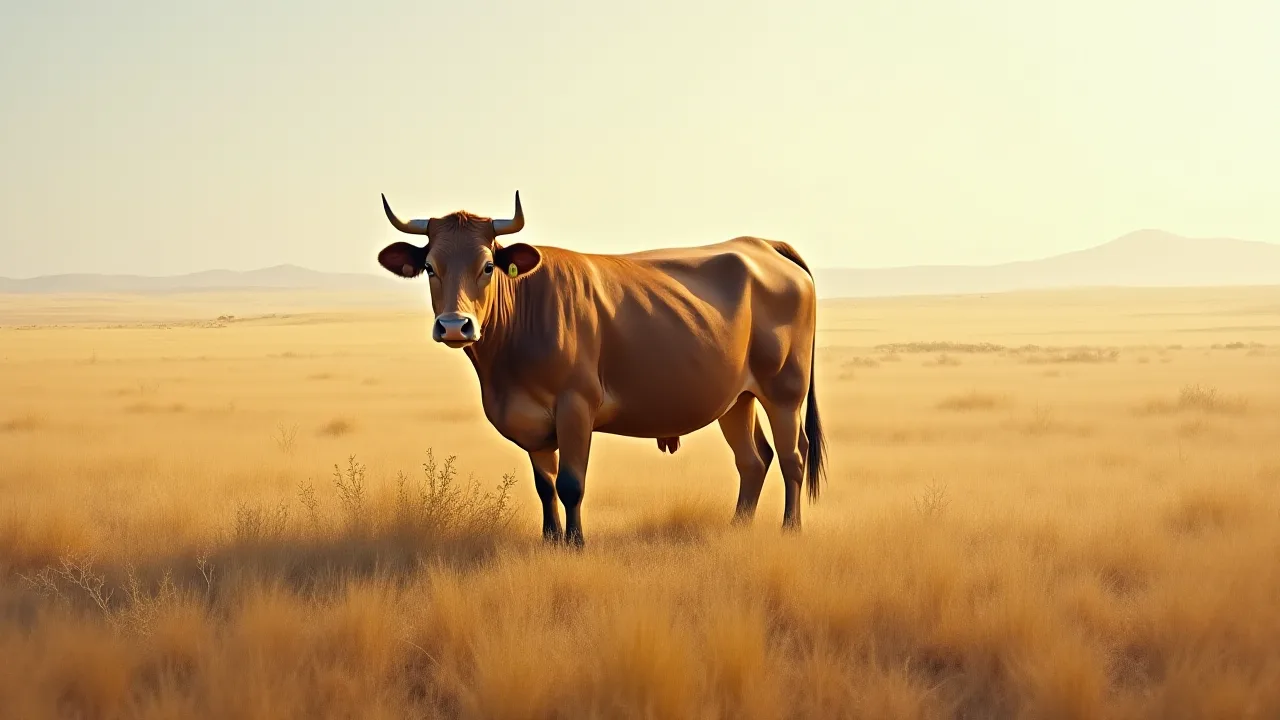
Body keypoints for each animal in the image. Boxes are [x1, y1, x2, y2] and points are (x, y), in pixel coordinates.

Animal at [376, 191, 827, 547]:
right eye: (430, 267)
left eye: (487, 266)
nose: (455, 325)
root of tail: (761, 244)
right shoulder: (529, 419)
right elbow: (545, 486)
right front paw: (550, 542)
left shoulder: (576, 405)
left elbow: (571, 483)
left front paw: (576, 545)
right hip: (735, 398)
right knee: (754, 458)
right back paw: (737, 528)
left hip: (784, 390)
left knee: (792, 455)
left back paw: (791, 529)